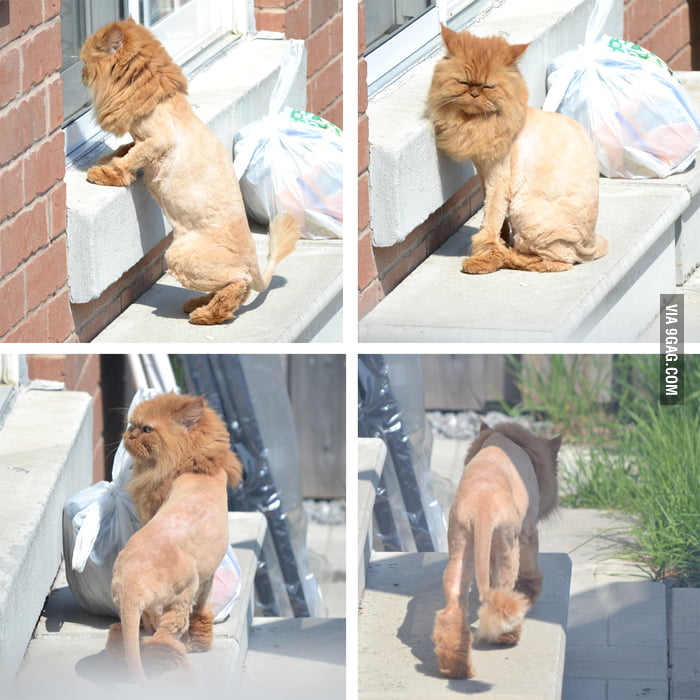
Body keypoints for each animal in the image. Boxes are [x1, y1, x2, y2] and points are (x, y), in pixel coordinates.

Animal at [432, 421, 560, 679]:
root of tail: (481, 507)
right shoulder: (528, 532)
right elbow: (529, 573)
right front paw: (530, 594)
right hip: (507, 549)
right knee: (502, 598)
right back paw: (507, 636)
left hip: (460, 552)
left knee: (452, 614)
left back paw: (457, 668)